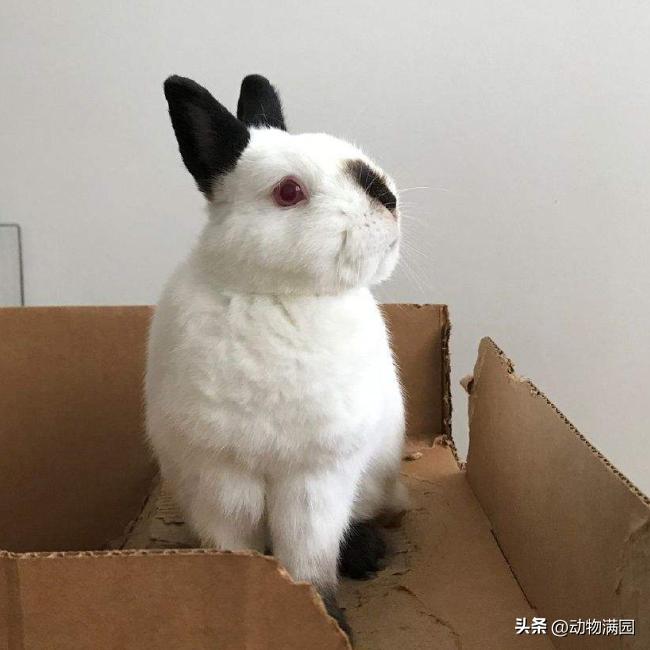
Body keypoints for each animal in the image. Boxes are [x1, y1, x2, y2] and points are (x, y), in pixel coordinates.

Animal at [145, 73, 408, 638]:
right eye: (289, 192)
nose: (386, 197)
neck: (276, 298)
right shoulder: (220, 479)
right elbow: (238, 553)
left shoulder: (315, 481)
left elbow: (308, 561)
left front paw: (329, 622)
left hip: (369, 484)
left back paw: (369, 555)